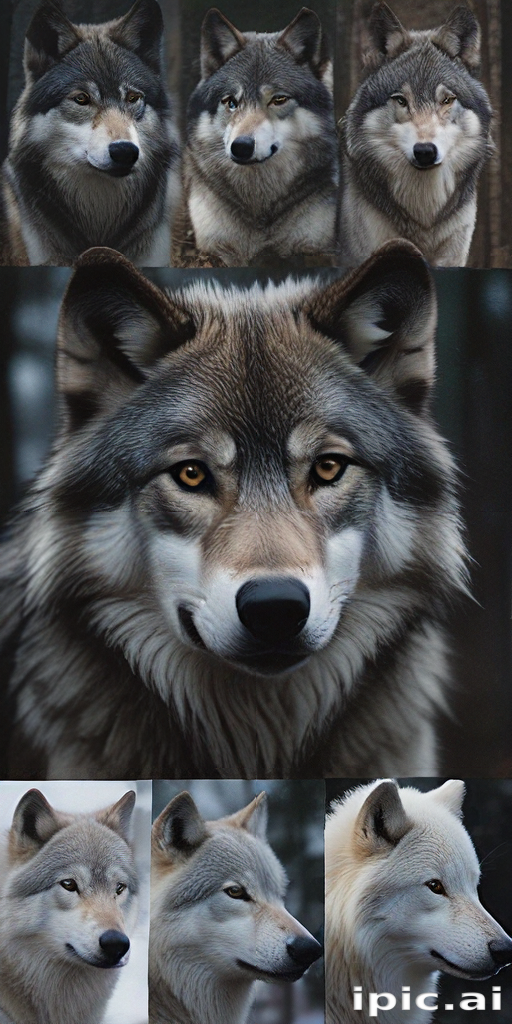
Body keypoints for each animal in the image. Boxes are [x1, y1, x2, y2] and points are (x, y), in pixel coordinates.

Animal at [178, 7, 338, 266]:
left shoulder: (317, 250)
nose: (241, 146)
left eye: (278, 99)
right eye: (231, 102)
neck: (260, 208)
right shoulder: (213, 251)